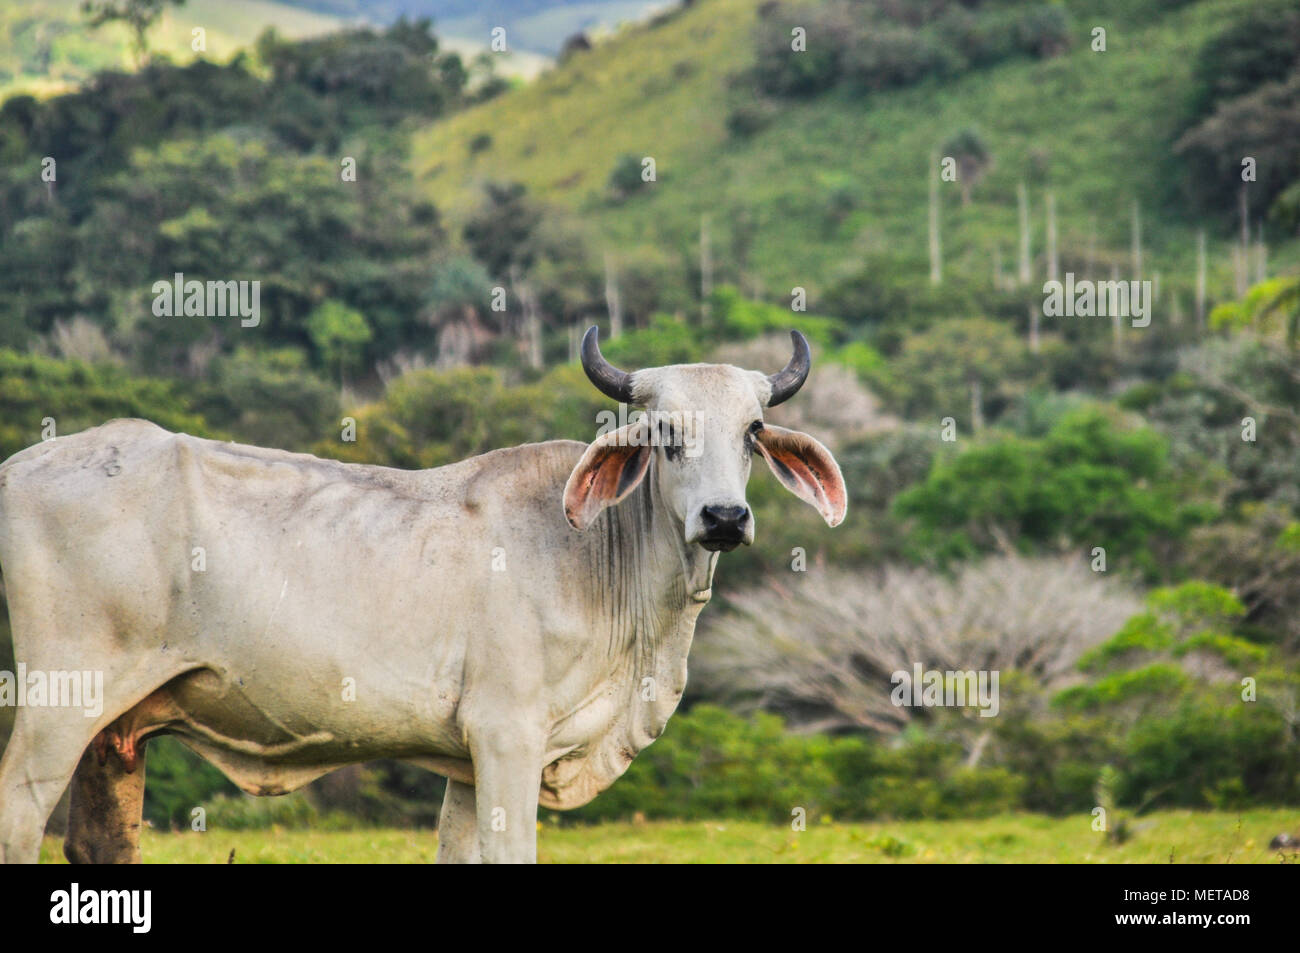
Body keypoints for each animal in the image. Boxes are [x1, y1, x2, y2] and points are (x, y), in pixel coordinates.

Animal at [0, 327, 845, 864]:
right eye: (666, 434)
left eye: (753, 430)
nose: (725, 517)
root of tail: (23, 463)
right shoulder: (507, 733)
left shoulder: (466, 761)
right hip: (61, 702)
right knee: (17, 813)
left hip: (117, 730)